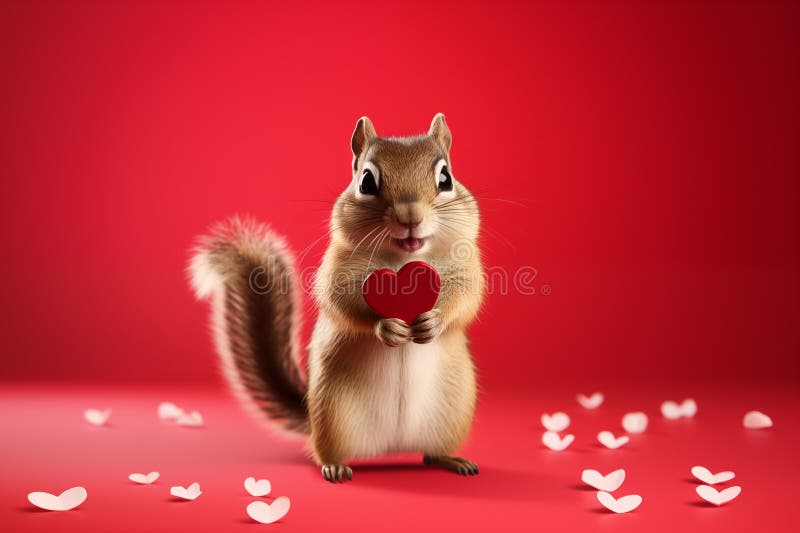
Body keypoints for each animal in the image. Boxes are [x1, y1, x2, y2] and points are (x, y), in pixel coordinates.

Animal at [189, 114, 484, 482]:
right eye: (367, 181)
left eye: (446, 178)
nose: (410, 217)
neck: (403, 258)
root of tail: (392, 447)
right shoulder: (338, 270)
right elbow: (342, 304)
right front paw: (386, 327)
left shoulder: (466, 267)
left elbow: (465, 297)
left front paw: (433, 320)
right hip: (334, 413)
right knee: (327, 450)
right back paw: (335, 467)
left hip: (454, 412)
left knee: (431, 454)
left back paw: (454, 460)